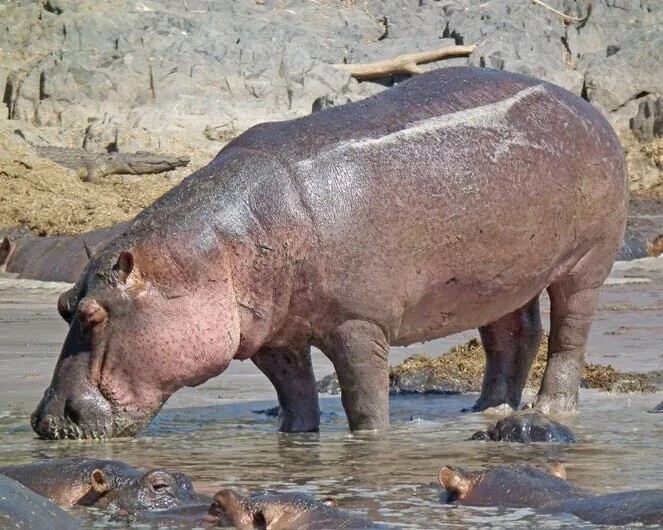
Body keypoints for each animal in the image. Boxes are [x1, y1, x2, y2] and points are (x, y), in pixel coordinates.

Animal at [31, 66, 627, 439]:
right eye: (62, 305)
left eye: (94, 314)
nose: (43, 419)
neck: (215, 251)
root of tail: (583, 105)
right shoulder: (270, 335)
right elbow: (294, 394)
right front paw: (295, 439)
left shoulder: (359, 324)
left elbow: (363, 399)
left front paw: (370, 442)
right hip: (502, 276)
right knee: (513, 336)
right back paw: (485, 409)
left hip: (586, 265)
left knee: (568, 337)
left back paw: (549, 409)